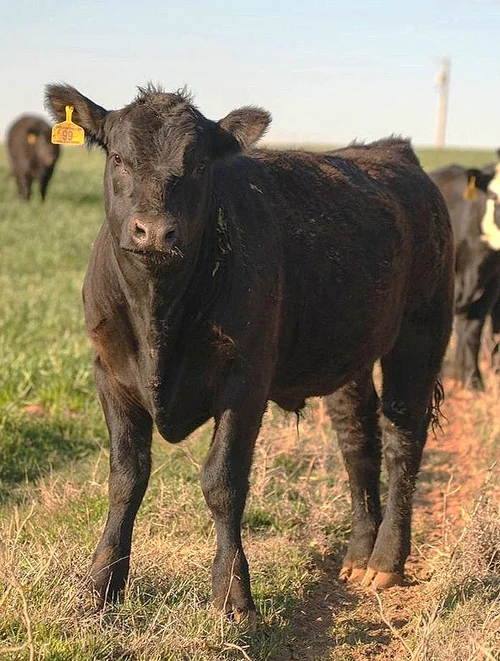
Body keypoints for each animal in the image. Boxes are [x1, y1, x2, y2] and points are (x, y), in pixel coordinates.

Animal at [46, 84, 454, 623]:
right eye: (118, 158)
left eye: (199, 164)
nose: (153, 231)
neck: (158, 313)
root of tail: (391, 150)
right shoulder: (110, 375)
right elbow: (126, 478)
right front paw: (100, 585)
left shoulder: (245, 381)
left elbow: (223, 482)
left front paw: (233, 595)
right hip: (349, 354)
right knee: (357, 441)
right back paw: (358, 553)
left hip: (421, 333)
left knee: (402, 438)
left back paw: (386, 560)